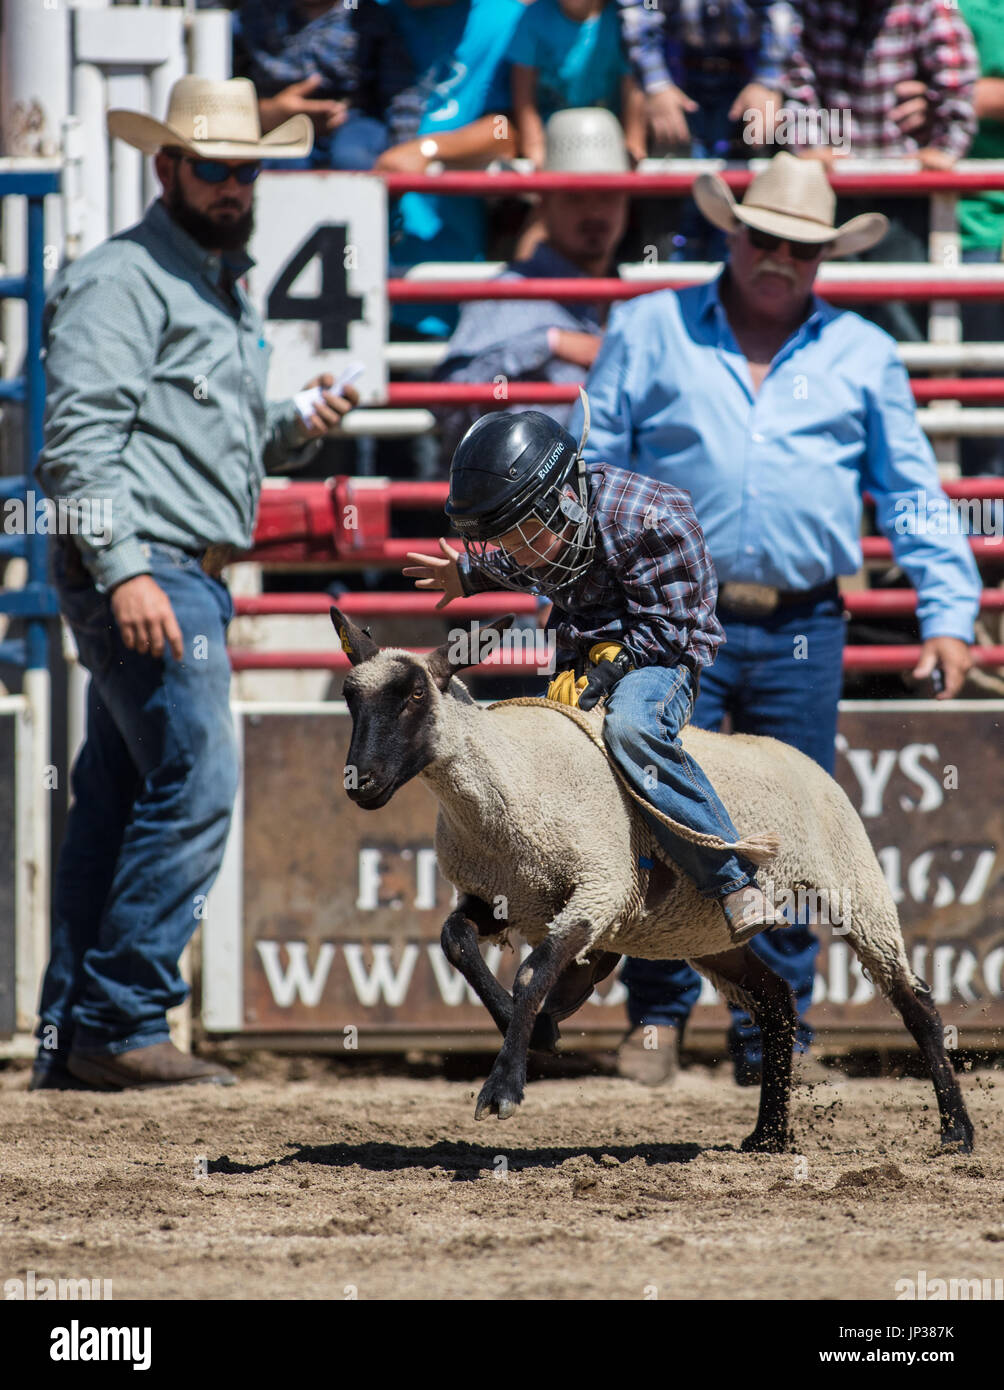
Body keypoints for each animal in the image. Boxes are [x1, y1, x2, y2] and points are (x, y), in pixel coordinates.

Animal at [332, 608, 974, 1154]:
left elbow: (534, 971)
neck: (509, 782)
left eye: (416, 694)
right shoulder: (497, 898)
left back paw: (956, 1132)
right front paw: (539, 1029)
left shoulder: (602, 886)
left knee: (914, 1000)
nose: (360, 783)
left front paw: (504, 1088)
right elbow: (456, 942)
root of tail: (798, 757)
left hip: (853, 886)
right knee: (776, 1002)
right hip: (709, 933)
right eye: (349, 695)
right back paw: (767, 1135)